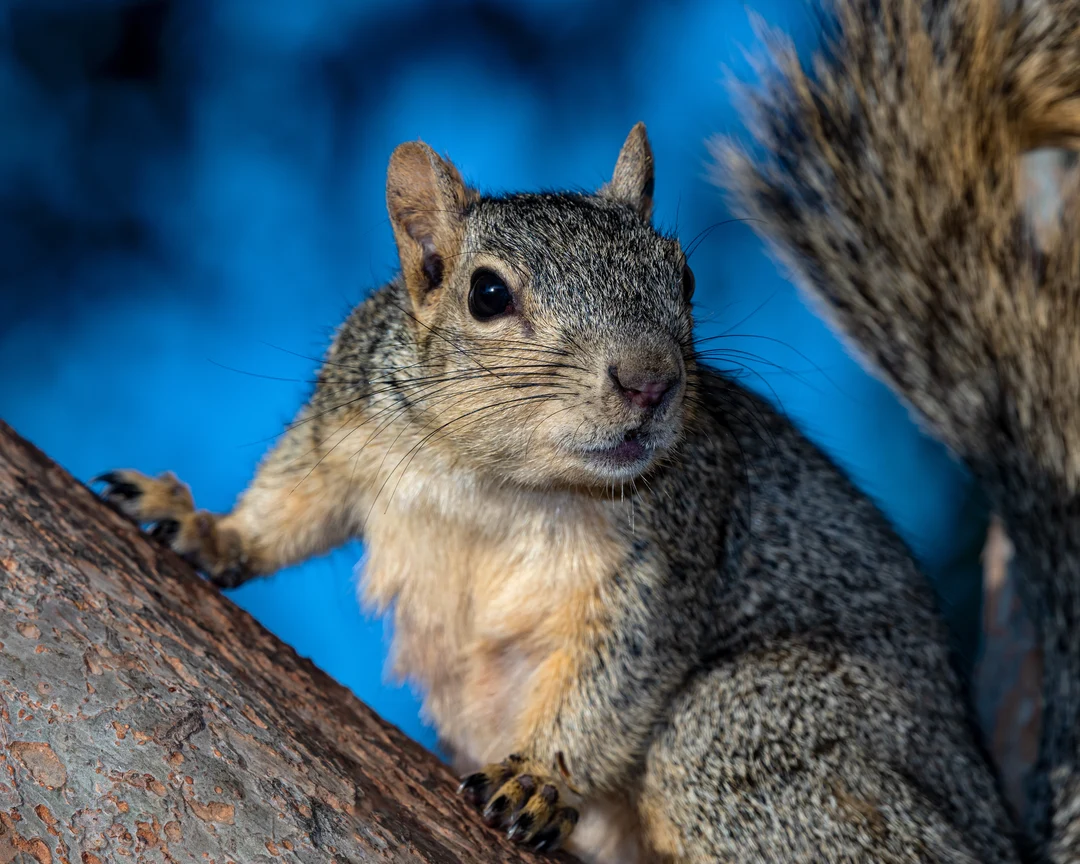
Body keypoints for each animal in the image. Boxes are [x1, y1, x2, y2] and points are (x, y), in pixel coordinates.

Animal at [96, 62, 1022, 864]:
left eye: (684, 278)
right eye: (487, 293)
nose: (651, 379)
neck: (496, 476)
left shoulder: (665, 555)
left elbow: (615, 679)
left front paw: (542, 778)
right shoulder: (348, 419)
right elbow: (293, 501)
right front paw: (202, 525)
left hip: (755, 740)